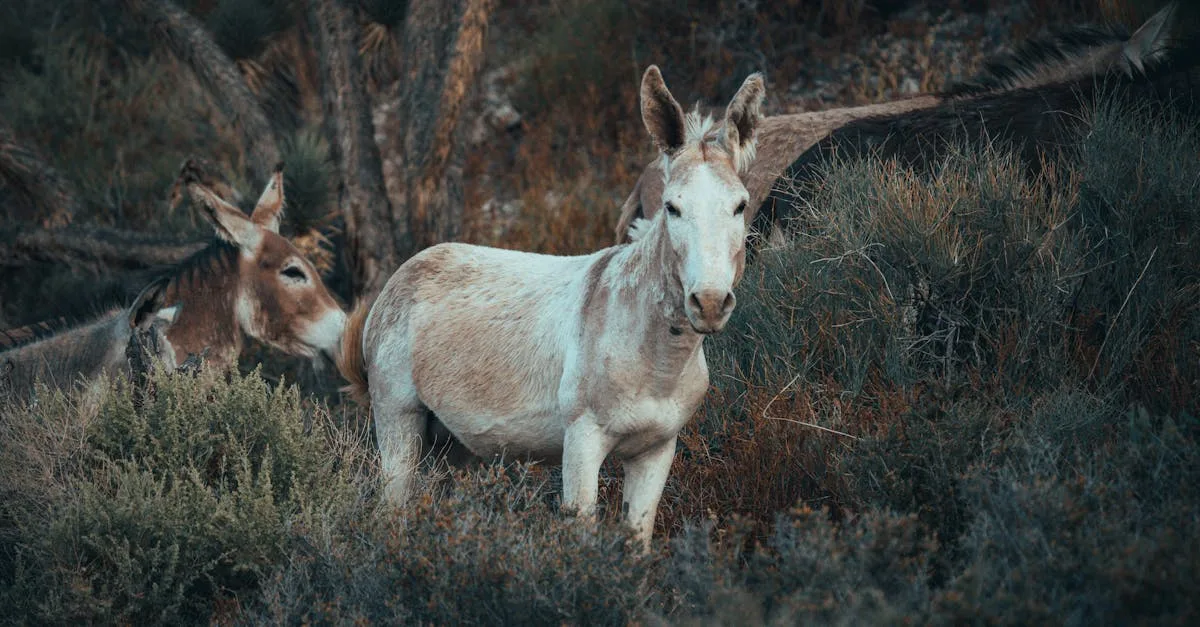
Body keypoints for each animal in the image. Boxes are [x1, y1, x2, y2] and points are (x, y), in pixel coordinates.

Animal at [339, 65, 764, 548]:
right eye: (672, 208)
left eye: (740, 206)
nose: (709, 304)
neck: (656, 357)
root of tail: (404, 272)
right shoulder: (581, 440)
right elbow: (581, 532)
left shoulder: (657, 450)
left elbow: (638, 538)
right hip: (398, 418)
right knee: (391, 509)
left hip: (453, 443)